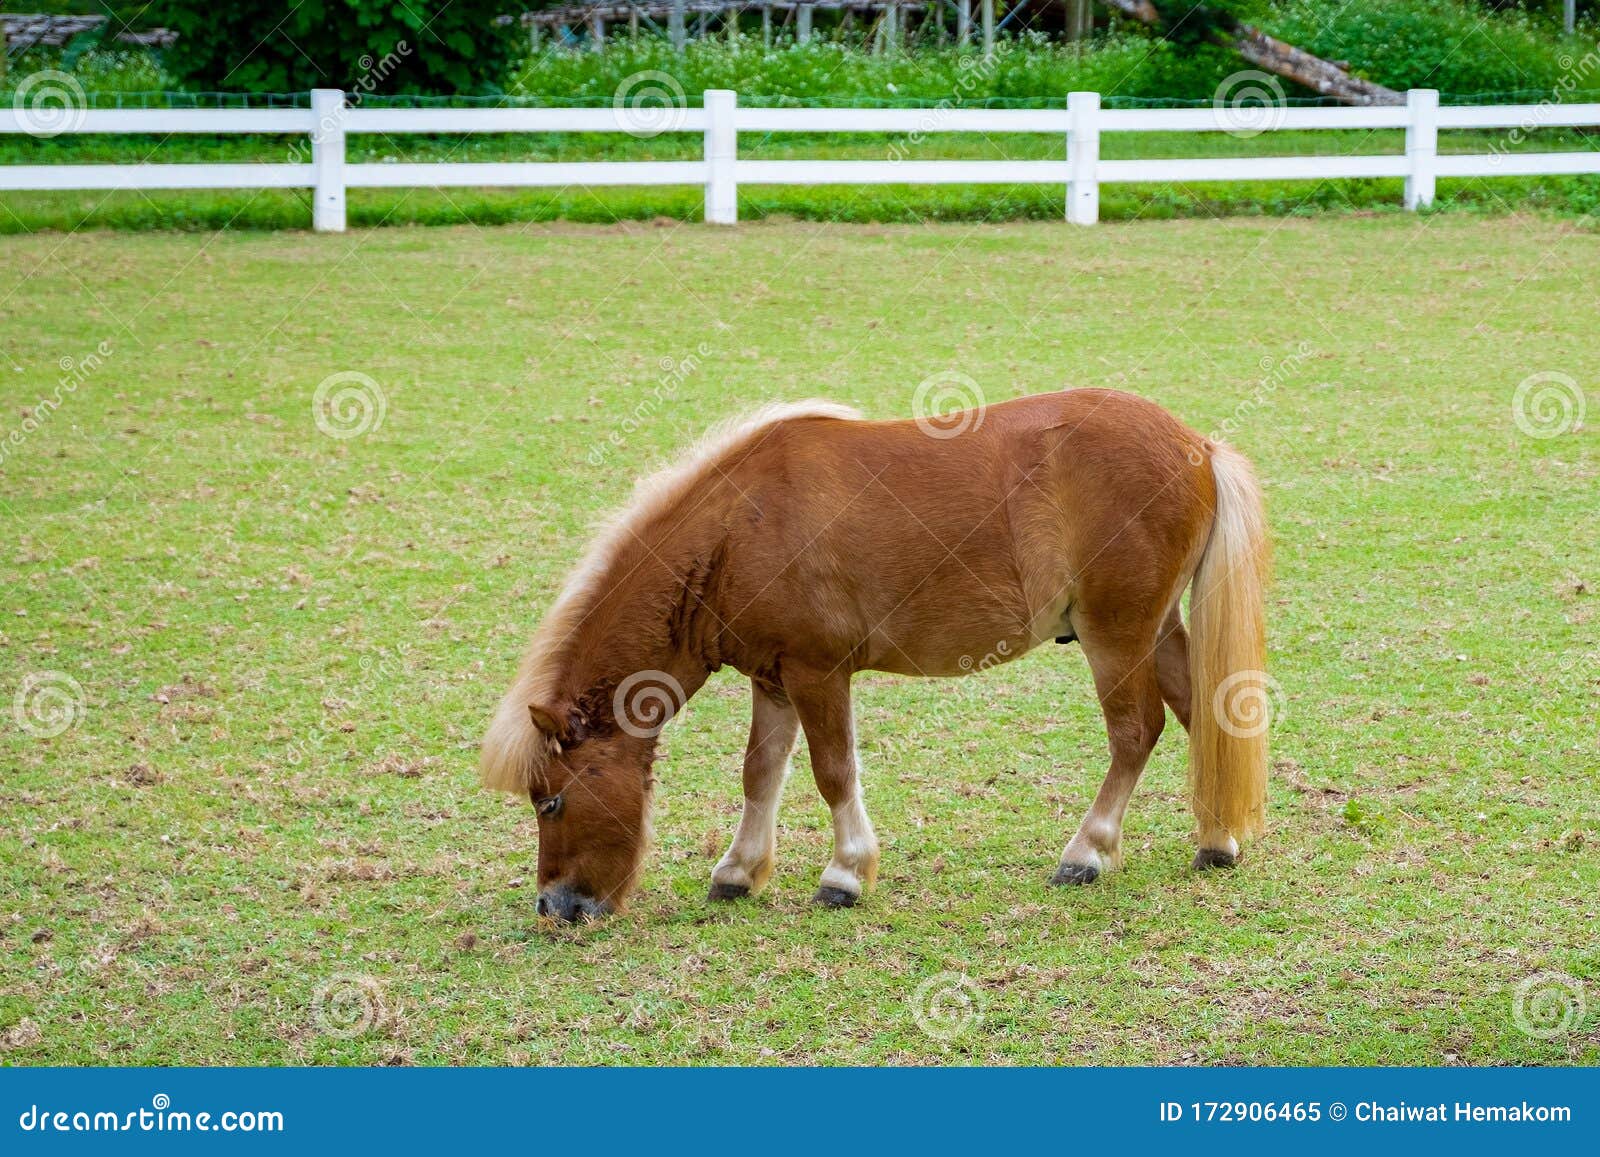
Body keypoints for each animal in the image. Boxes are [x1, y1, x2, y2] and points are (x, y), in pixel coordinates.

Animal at [480, 389, 1270, 923]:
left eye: (550, 799)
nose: (556, 907)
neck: (739, 529)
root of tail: (1196, 445)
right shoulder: (773, 679)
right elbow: (760, 773)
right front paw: (739, 871)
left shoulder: (817, 673)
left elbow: (833, 772)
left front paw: (845, 874)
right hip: (1157, 630)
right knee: (1199, 718)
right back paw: (1216, 842)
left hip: (1116, 635)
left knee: (1136, 733)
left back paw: (1087, 853)